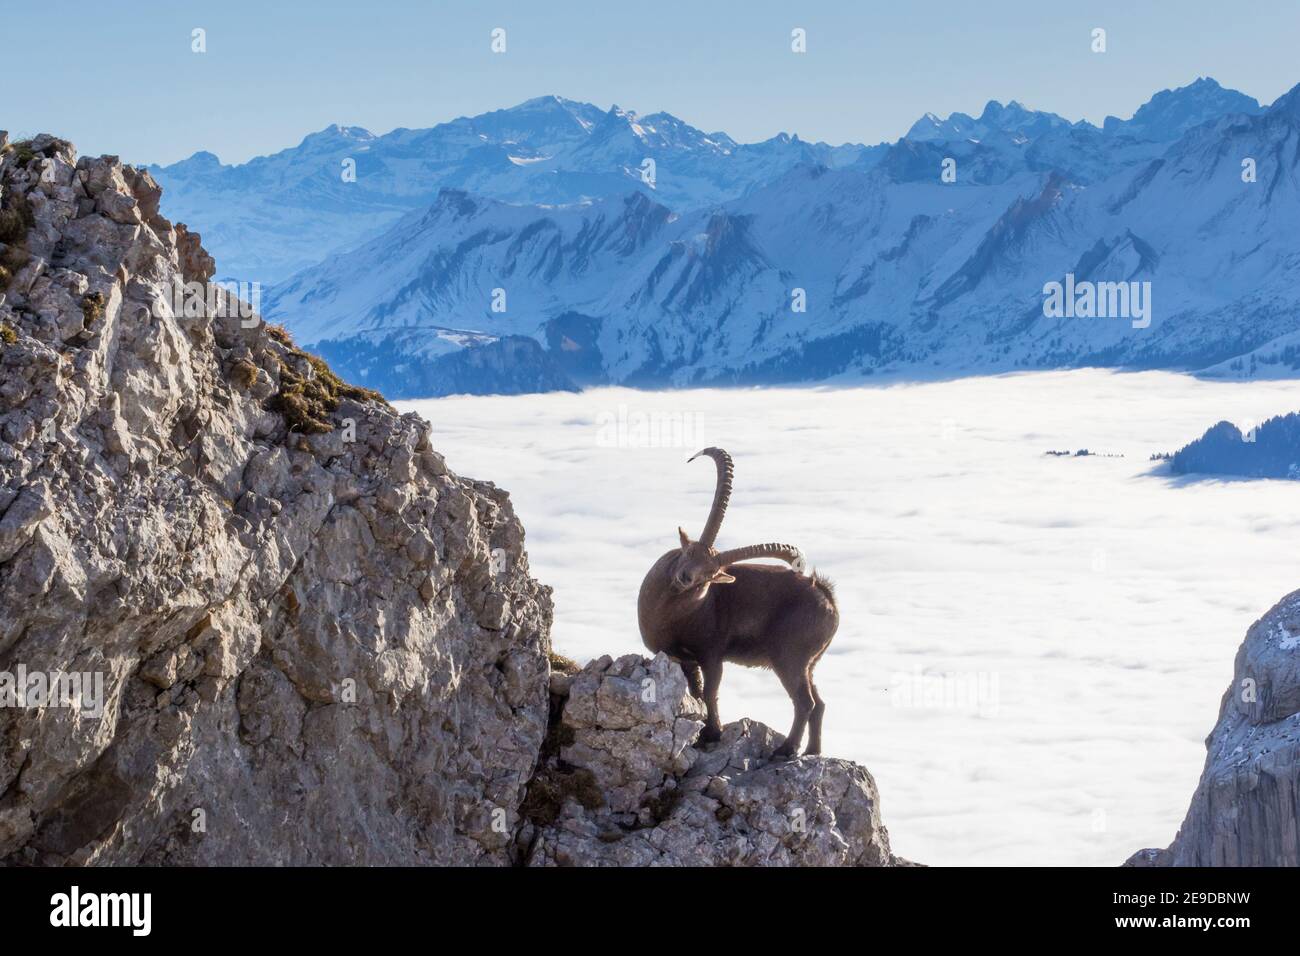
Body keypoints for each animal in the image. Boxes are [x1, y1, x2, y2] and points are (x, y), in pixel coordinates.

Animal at [637, 447, 839, 758]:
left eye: (710, 575)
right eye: (690, 552)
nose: (685, 578)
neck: (667, 616)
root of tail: (827, 596)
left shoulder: (711, 653)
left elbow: (710, 692)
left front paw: (712, 733)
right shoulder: (681, 657)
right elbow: (696, 692)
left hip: (790, 657)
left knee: (806, 703)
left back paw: (785, 749)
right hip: (810, 664)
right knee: (820, 704)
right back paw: (811, 751)